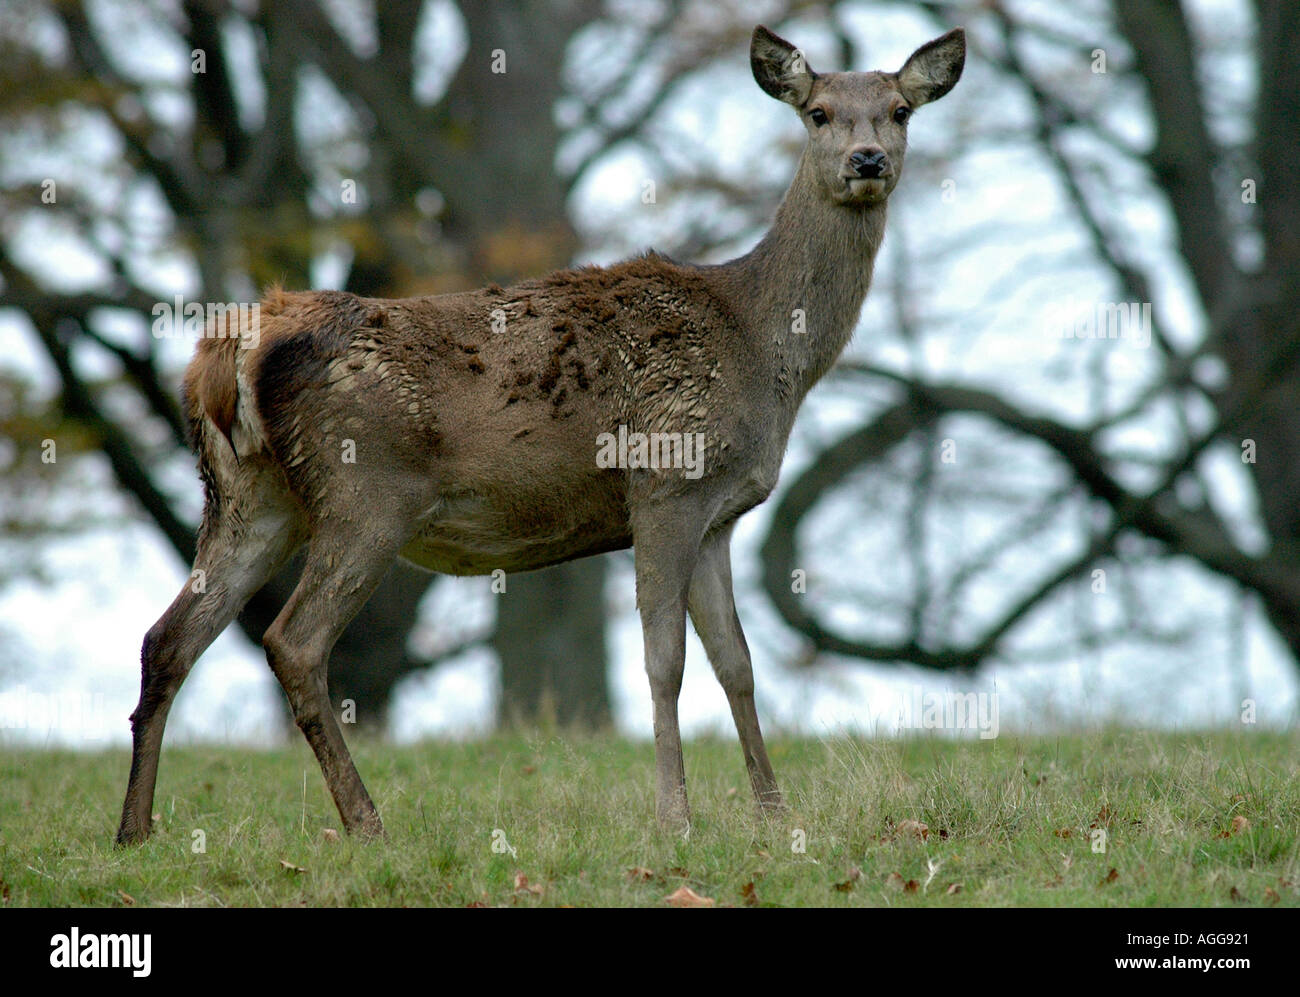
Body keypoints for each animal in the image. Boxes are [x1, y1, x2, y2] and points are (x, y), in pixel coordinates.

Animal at [115, 24, 965, 844]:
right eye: (817, 112)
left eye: (900, 111)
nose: (867, 160)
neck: (762, 347)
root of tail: (229, 348)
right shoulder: (666, 481)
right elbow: (665, 660)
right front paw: (676, 817)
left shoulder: (718, 513)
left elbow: (737, 662)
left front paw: (775, 813)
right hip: (366, 490)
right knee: (292, 642)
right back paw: (366, 823)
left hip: (249, 494)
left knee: (168, 637)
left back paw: (136, 829)